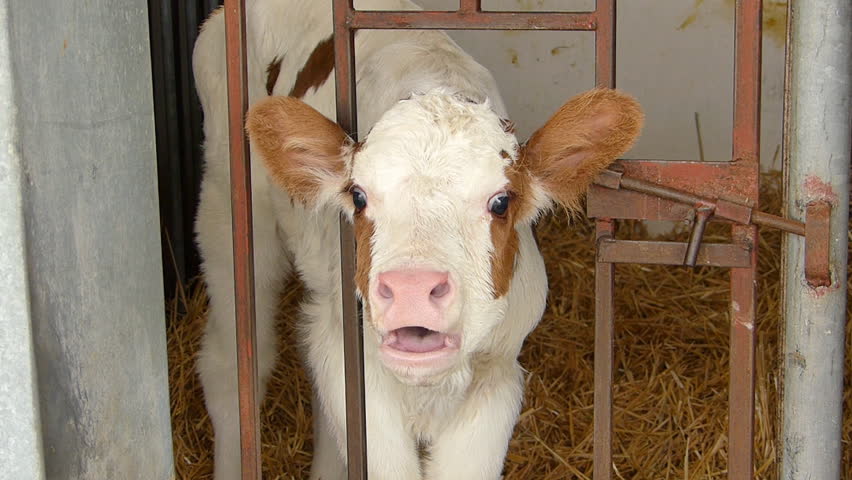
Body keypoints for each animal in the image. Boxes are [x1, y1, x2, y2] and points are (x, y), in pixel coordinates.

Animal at [192, 1, 643, 478]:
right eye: (358, 196)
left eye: (501, 202)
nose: (412, 289)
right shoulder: (356, 365)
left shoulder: (497, 373)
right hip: (227, 201)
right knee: (233, 364)